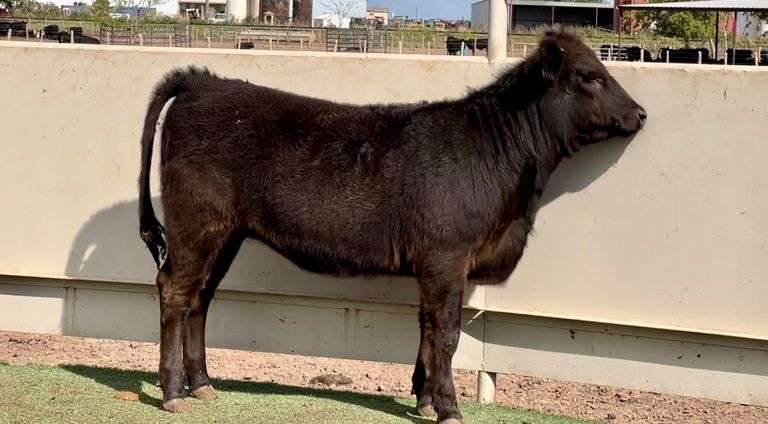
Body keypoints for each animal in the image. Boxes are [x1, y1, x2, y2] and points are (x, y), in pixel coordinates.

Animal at [138, 30, 645, 423]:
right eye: (590, 76)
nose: (640, 114)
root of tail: (201, 81)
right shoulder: (446, 256)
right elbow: (447, 332)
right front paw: (448, 407)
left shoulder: (434, 265)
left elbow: (426, 326)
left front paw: (423, 399)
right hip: (196, 223)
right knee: (176, 290)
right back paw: (173, 392)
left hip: (225, 233)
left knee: (201, 296)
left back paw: (202, 383)